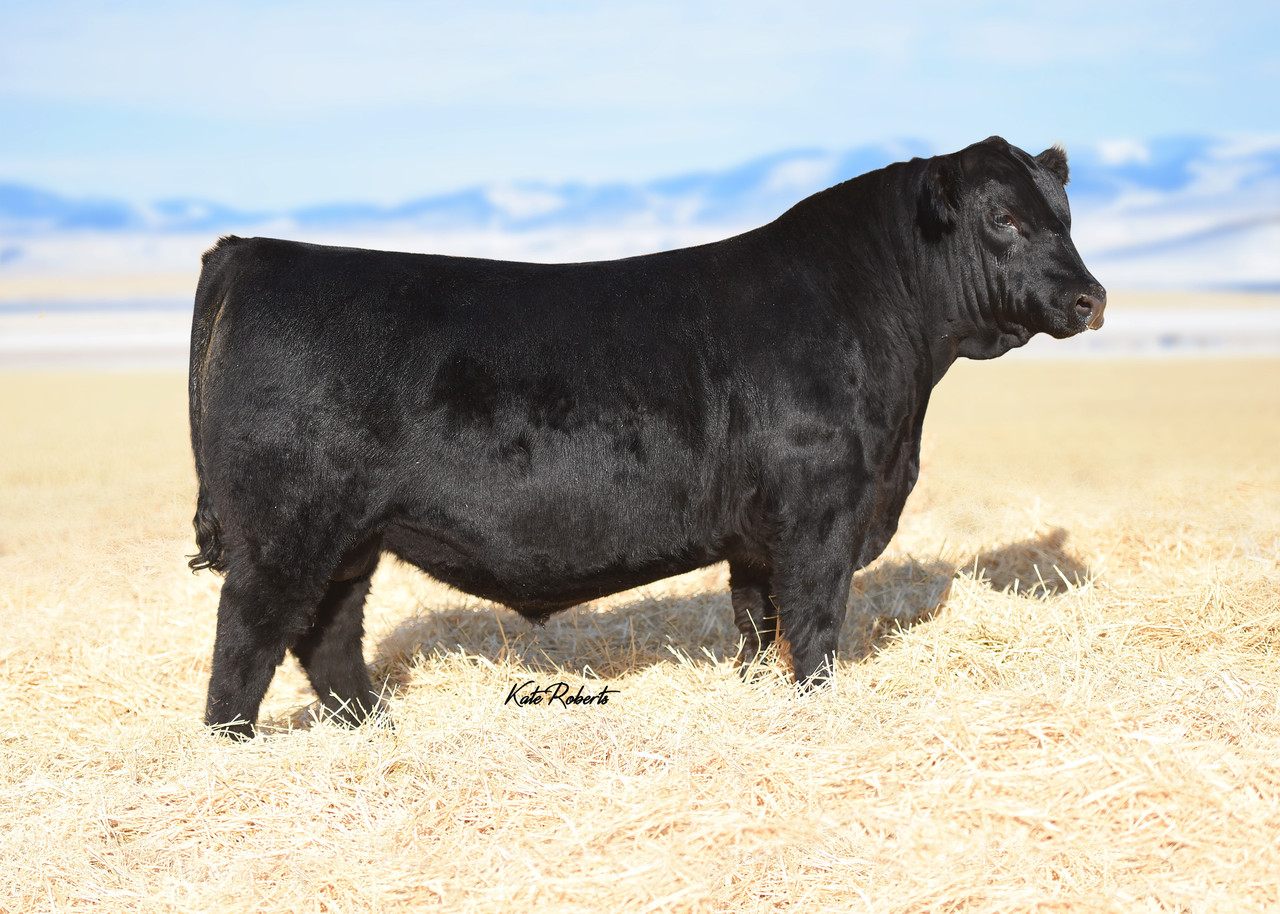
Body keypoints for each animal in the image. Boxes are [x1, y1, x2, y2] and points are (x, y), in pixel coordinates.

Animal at [188, 136, 1104, 738]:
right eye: (1004, 220)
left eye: (1063, 215)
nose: (1091, 298)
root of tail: (249, 252)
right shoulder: (821, 513)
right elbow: (814, 626)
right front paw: (814, 709)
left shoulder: (758, 534)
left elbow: (756, 623)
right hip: (285, 528)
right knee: (248, 637)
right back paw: (235, 747)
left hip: (349, 537)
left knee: (328, 636)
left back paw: (372, 727)